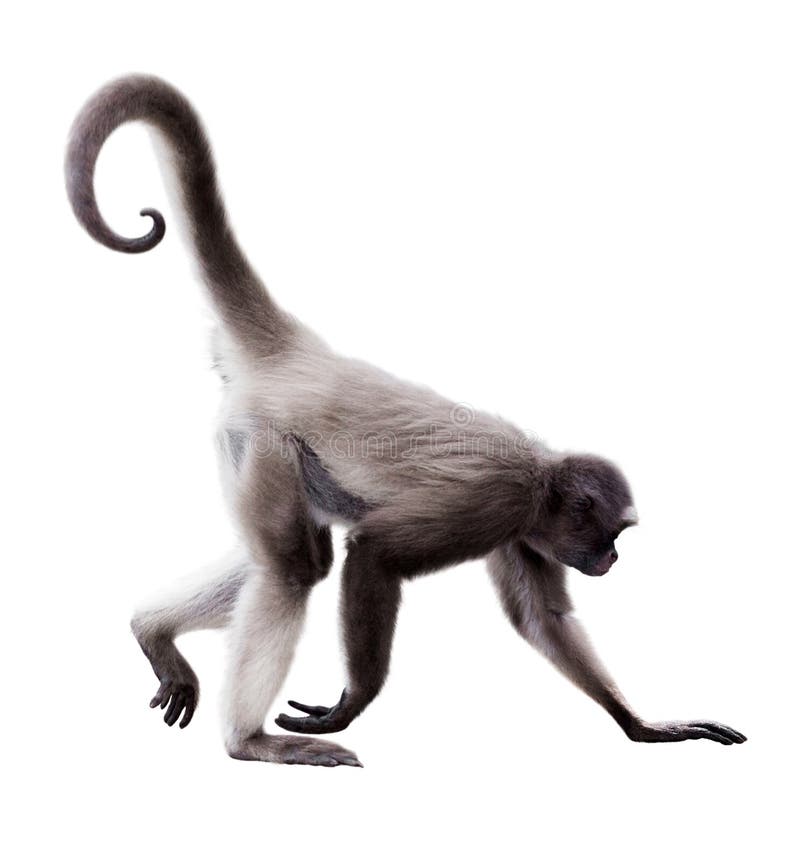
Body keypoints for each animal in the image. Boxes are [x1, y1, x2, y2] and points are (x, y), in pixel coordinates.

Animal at [65, 75, 746, 767]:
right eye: (615, 532)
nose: (612, 559)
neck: (540, 473)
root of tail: (304, 354)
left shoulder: (522, 527)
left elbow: (543, 622)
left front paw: (645, 725)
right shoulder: (496, 503)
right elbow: (374, 554)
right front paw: (351, 704)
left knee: (291, 555)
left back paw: (153, 630)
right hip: (265, 439)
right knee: (296, 567)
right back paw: (249, 741)